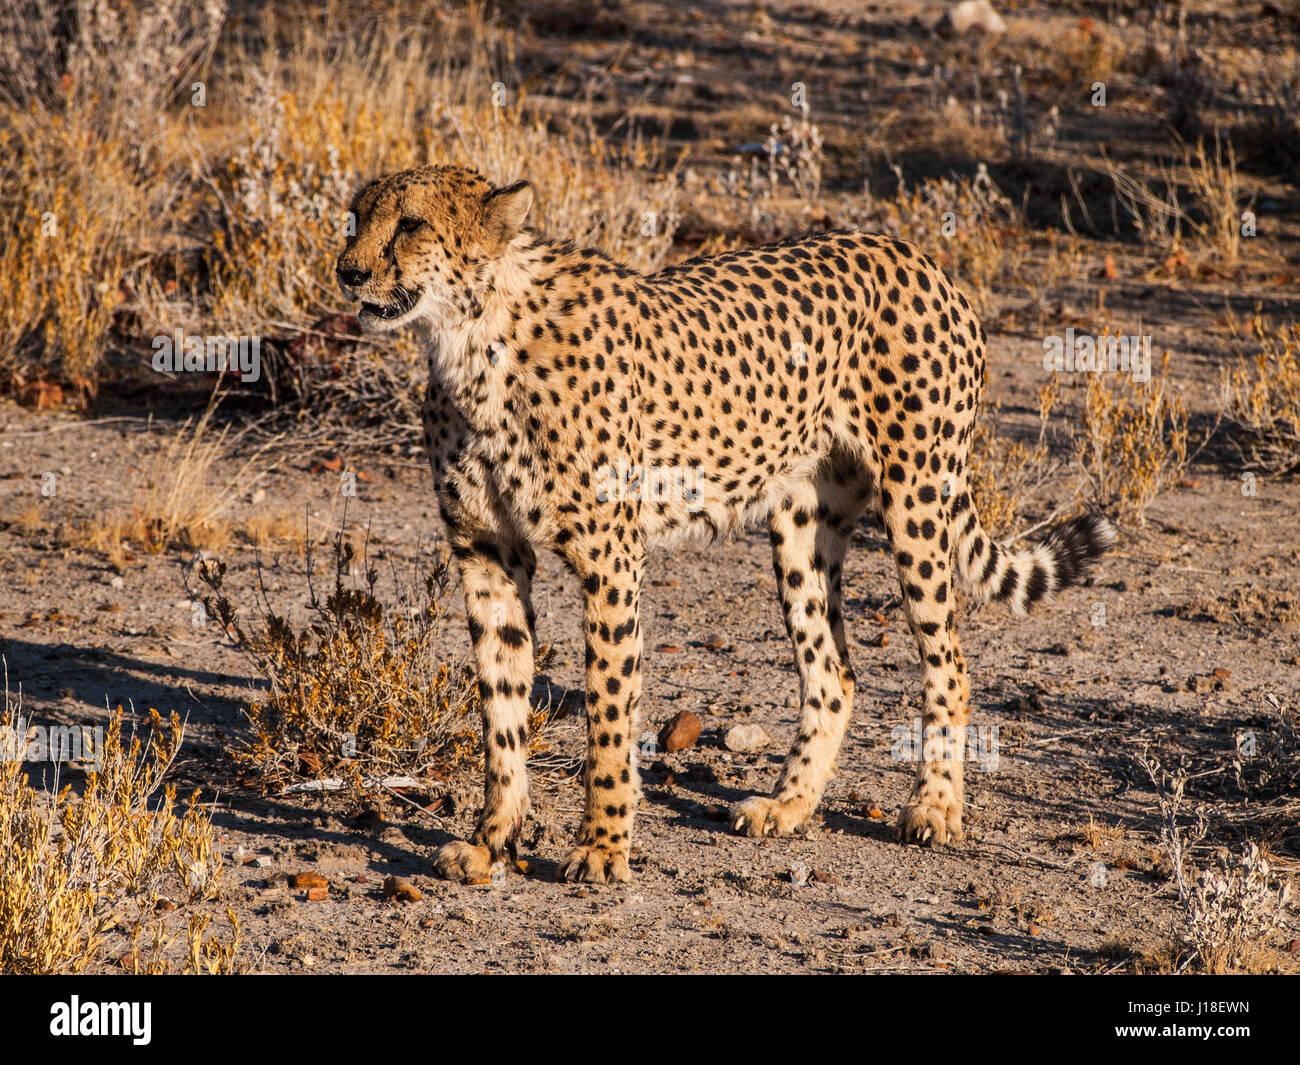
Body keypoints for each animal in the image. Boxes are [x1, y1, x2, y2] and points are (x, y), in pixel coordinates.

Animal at [335, 164, 1115, 884]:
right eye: (356, 218)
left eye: (410, 224)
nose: (348, 271)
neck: (473, 340)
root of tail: (915, 255)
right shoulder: (487, 553)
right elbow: (500, 712)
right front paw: (493, 840)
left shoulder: (612, 557)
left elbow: (609, 711)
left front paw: (603, 847)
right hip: (802, 526)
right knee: (834, 672)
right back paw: (788, 806)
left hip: (918, 499)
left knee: (947, 663)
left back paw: (934, 809)